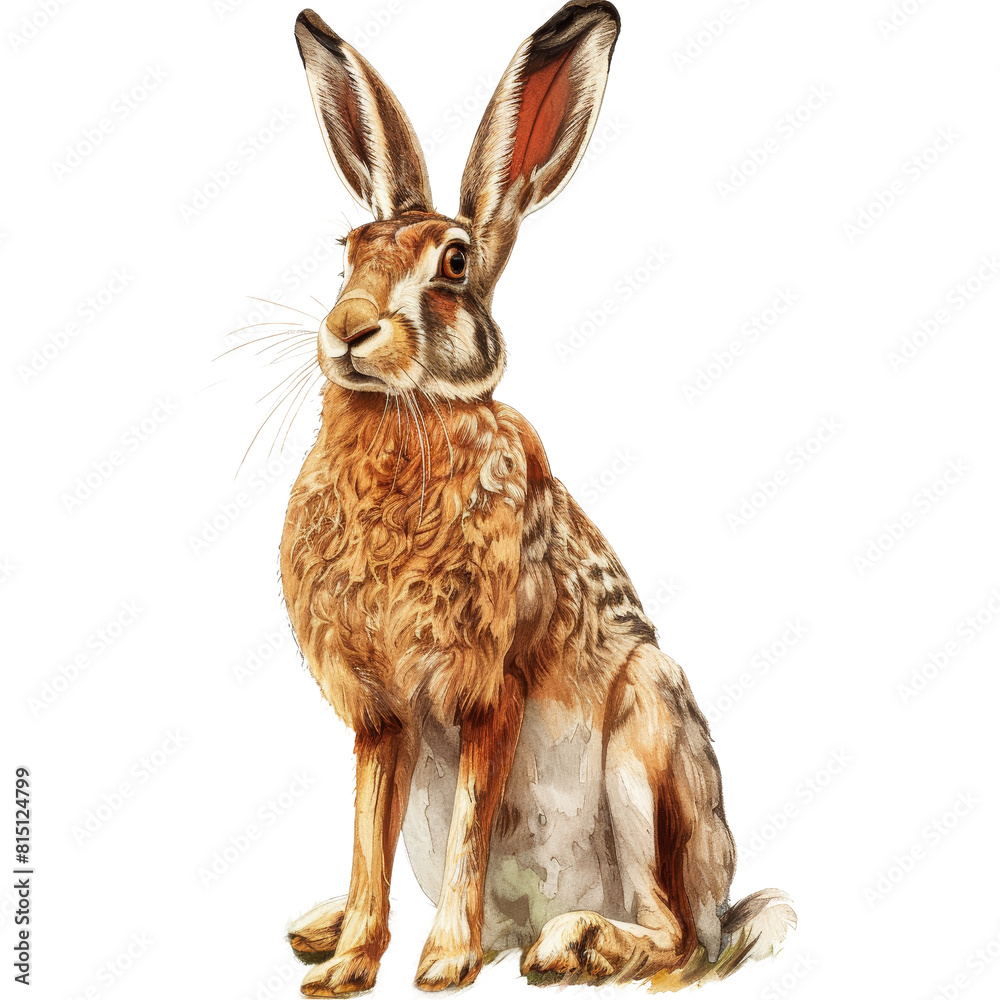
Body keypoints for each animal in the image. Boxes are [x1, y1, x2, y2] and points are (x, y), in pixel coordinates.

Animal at [280, 3, 796, 995]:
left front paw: (443, 963)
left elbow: (473, 826)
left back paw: (576, 945)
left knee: (677, 938)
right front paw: (350, 962)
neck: (409, 421)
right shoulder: (381, 715)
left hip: (648, 748)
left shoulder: (491, 688)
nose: (348, 330)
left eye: (453, 264)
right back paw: (320, 927)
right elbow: (367, 831)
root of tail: (729, 908)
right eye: (346, 254)